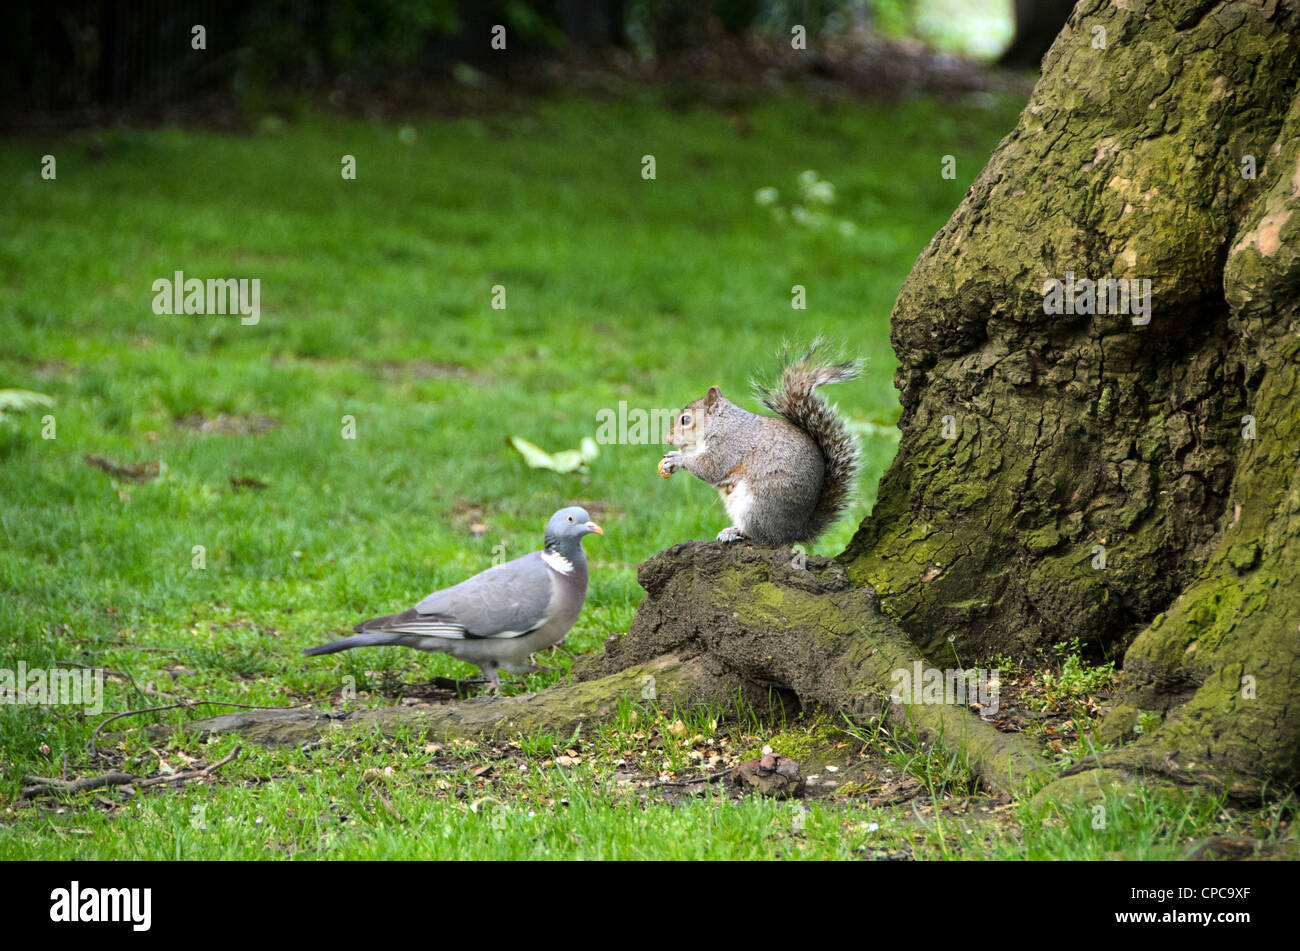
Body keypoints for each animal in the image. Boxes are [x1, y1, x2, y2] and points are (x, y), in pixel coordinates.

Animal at [659, 339, 862, 546]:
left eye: (685, 420)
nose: (667, 438)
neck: (720, 423)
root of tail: (793, 533)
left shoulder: (730, 444)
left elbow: (710, 467)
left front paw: (677, 459)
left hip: (757, 506)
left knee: (761, 536)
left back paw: (734, 532)